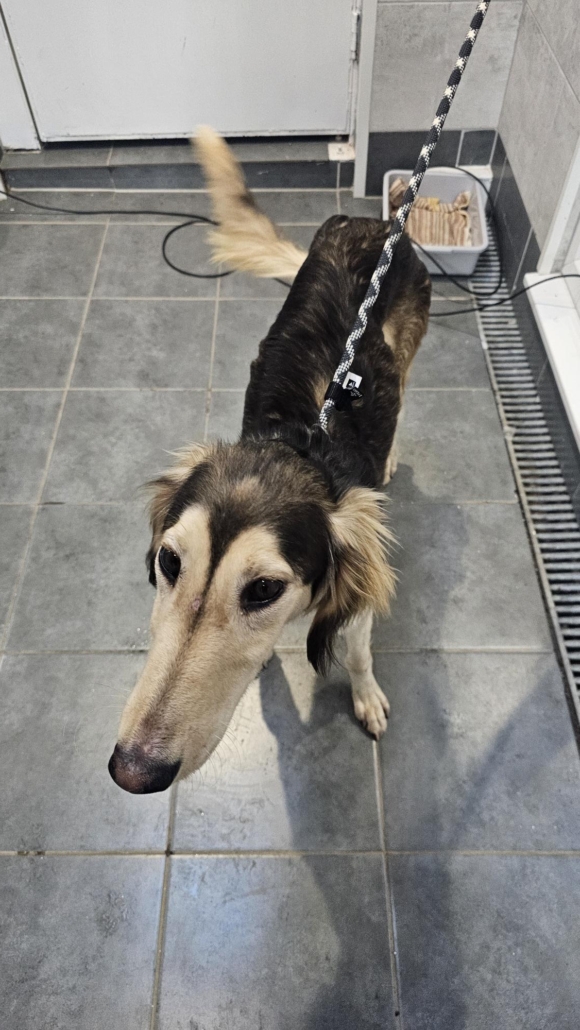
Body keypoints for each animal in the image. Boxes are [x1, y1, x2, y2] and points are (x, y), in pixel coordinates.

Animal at [108, 127, 431, 794]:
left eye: (262, 590)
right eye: (169, 562)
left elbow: (358, 651)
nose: (132, 772)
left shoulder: (355, 601)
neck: (297, 444)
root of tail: (372, 221)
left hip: (411, 347)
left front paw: (366, 696)